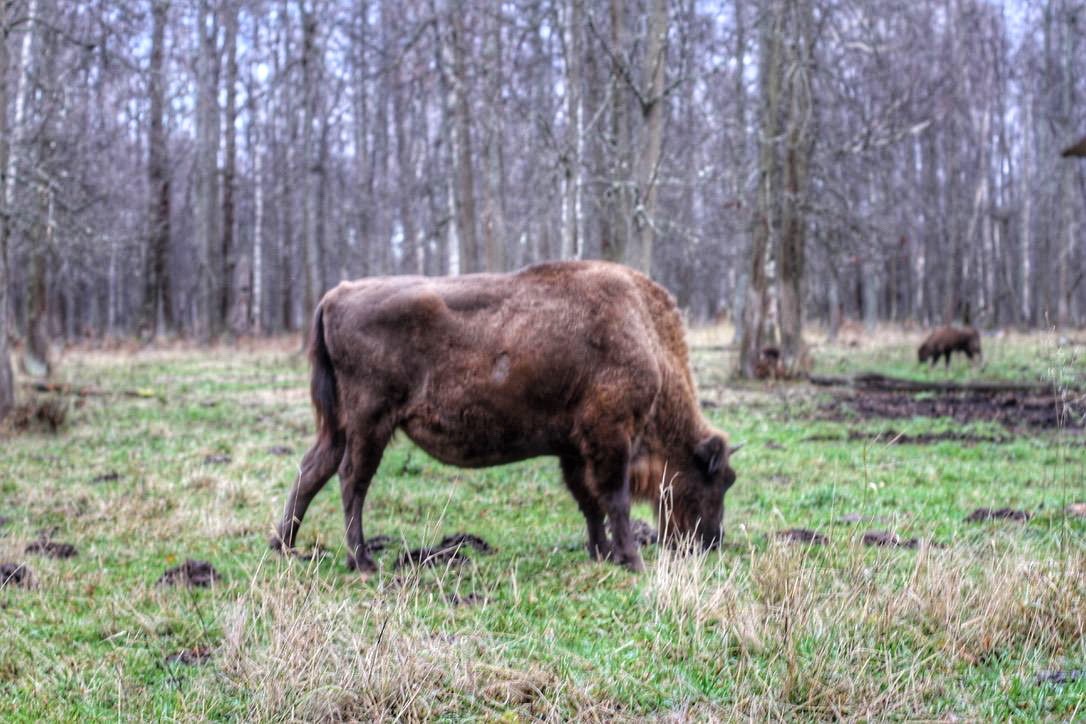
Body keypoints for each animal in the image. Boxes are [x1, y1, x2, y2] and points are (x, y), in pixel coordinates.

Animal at [271, 260, 738, 573]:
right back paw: (362, 560)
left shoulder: (574, 447)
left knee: (312, 470)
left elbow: (589, 502)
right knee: (352, 480)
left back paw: (286, 546)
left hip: (339, 426)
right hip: (370, 422)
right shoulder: (609, 437)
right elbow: (614, 499)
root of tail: (336, 296)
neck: (642, 332)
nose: (711, 542)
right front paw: (631, 559)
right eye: (720, 479)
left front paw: (602, 552)